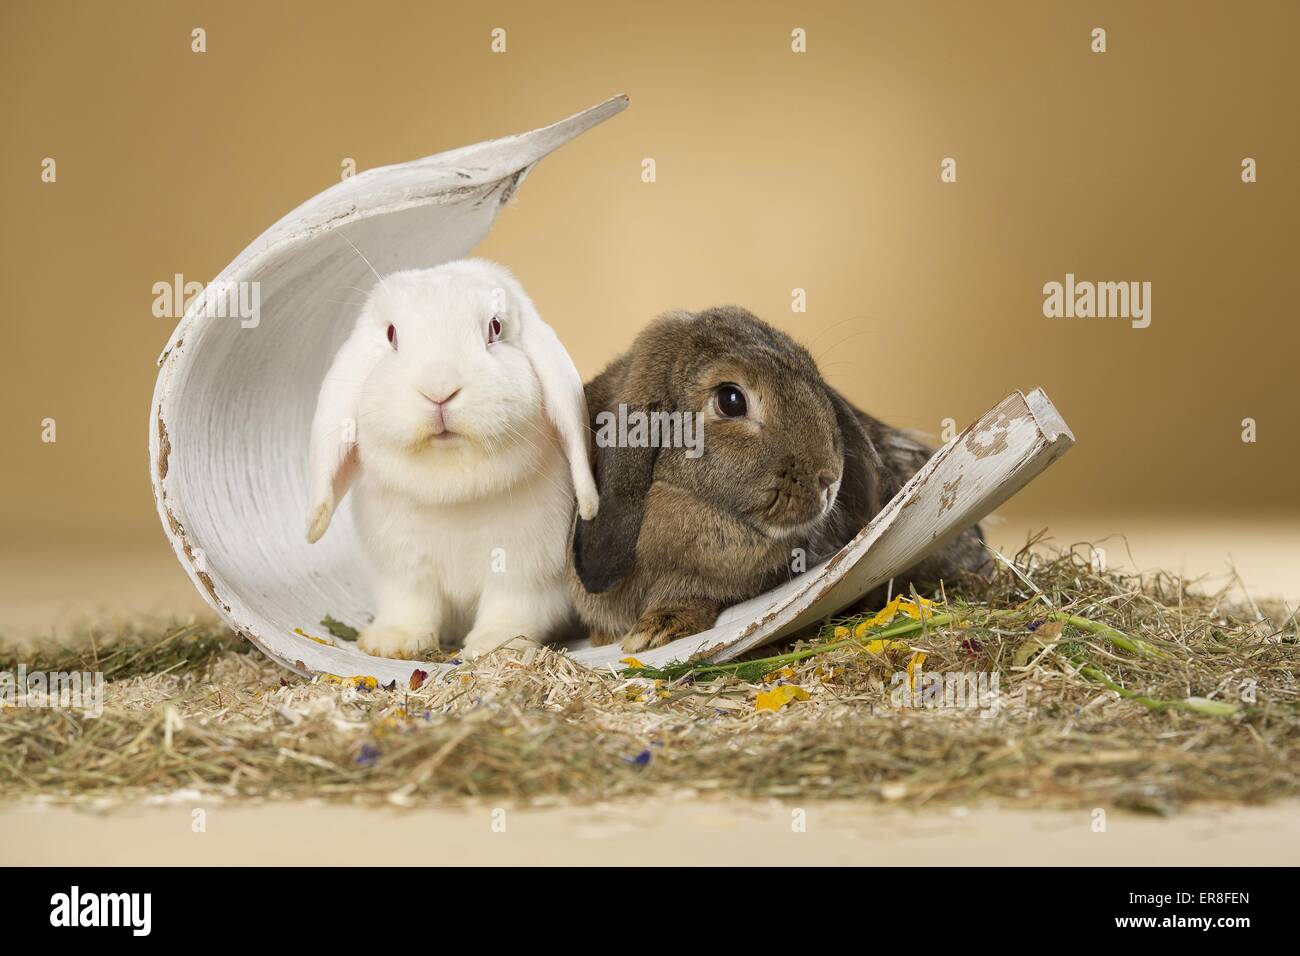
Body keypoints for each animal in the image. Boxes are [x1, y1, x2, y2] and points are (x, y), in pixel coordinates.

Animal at [306, 259, 598, 660]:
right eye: (392, 334)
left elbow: (513, 609)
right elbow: (411, 605)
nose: (439, 390)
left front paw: (494, 646)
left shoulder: (527, 572)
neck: (452, 488)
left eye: (495, 328)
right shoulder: (404, 569)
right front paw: (390, 642)